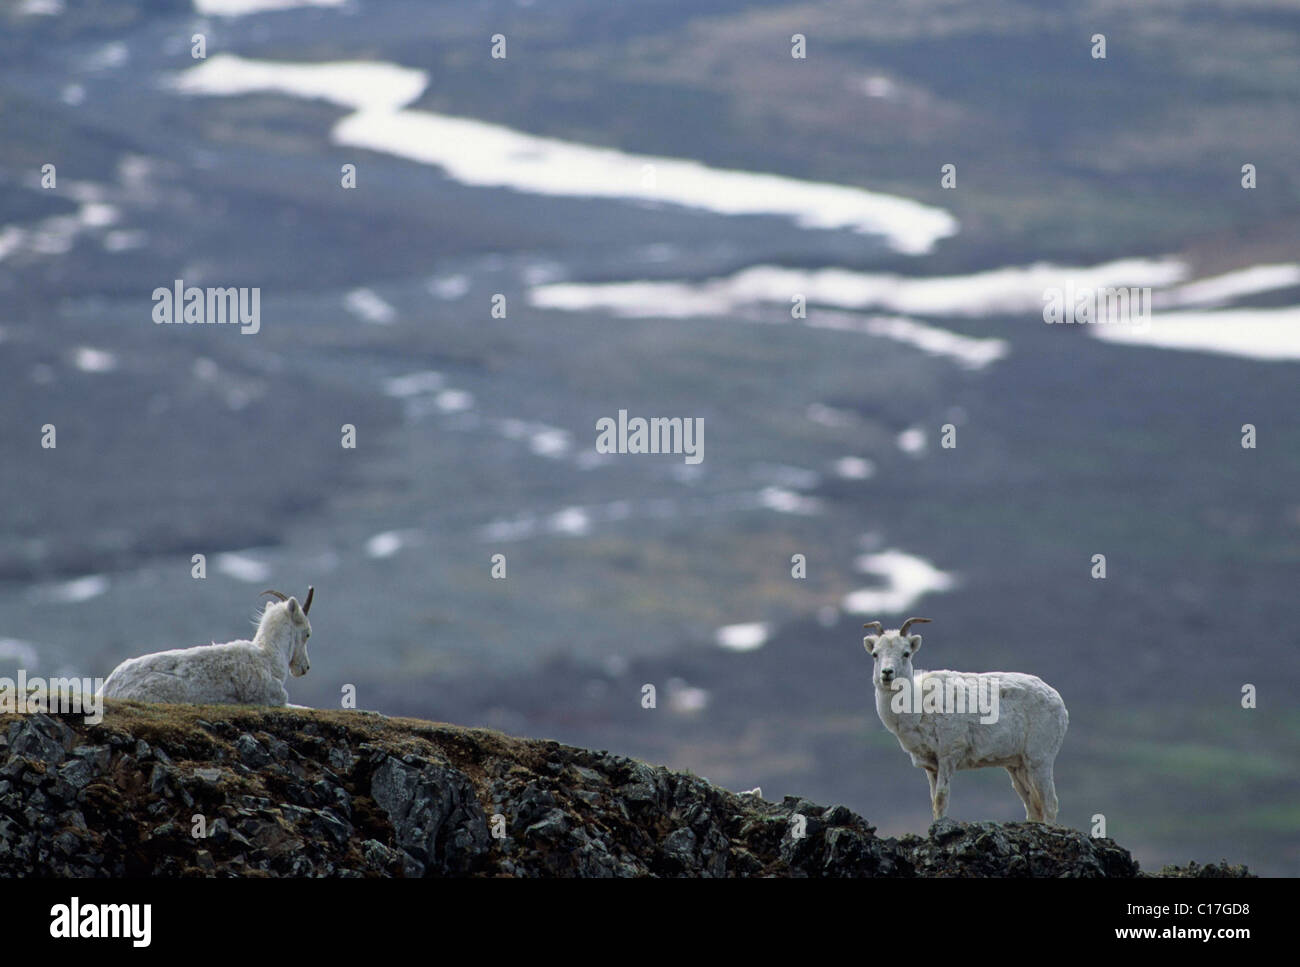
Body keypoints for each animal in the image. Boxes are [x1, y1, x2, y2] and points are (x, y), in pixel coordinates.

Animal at [863, 617, 1067, 823]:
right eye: (875, 654)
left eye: (906, 653)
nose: (887, 673)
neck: (919, 706)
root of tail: (1058, 700)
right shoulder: (931, 766)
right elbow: (934, 802)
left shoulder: (948, 756)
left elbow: (940, 799)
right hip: (1017, 766)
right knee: (1034, 807)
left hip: (1039, 760)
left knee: (1050, 804)